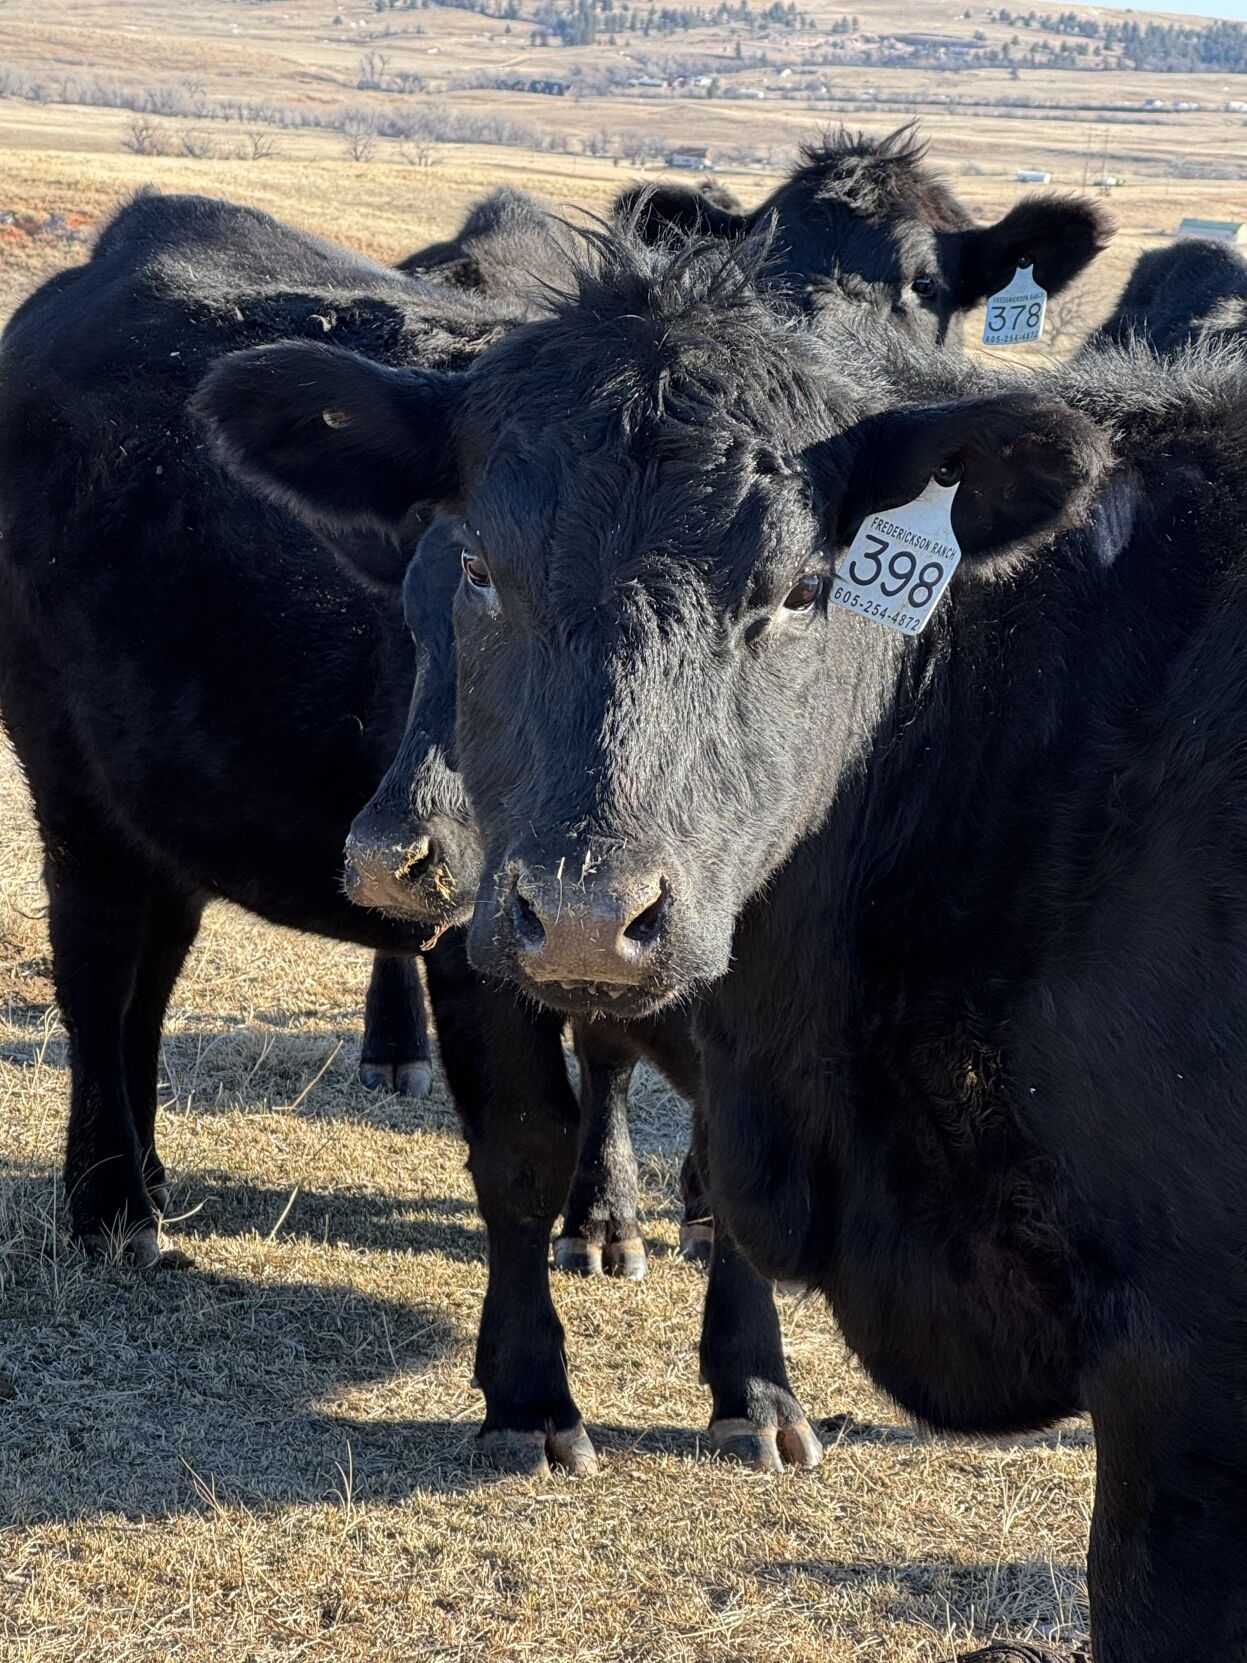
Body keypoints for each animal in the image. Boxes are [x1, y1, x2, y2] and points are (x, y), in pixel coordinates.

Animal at [203, 224, 1247, 1659]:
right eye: (477, 567)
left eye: (805, 587)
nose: (589, 908)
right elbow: (521, 1154)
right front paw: (531, 1399)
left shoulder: (1180, 1362)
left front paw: (751, 1391)